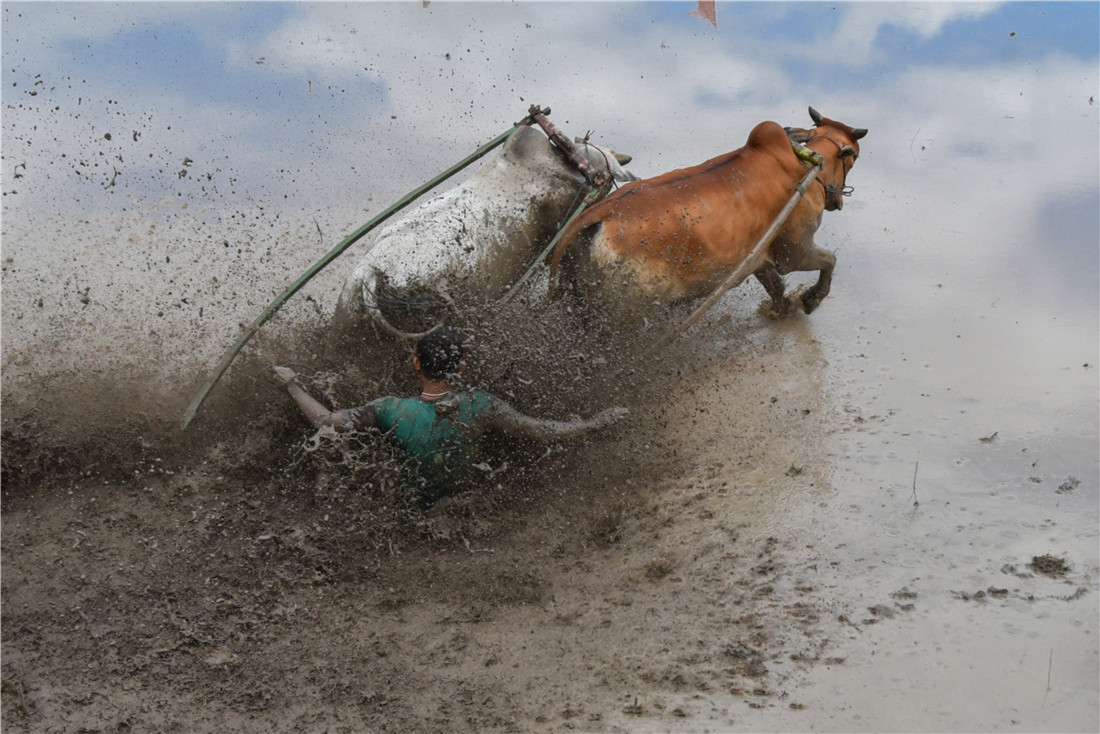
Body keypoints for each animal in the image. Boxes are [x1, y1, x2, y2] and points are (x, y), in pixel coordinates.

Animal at [548, 107, 867, 327]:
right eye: (853, 156)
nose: (837, 198)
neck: (806, 164)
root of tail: (595, 214)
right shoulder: (794, 250)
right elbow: (829, 260)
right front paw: (811, 299)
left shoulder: (756, 257)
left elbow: (775, 286)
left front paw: (783, 308)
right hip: (624, 312)